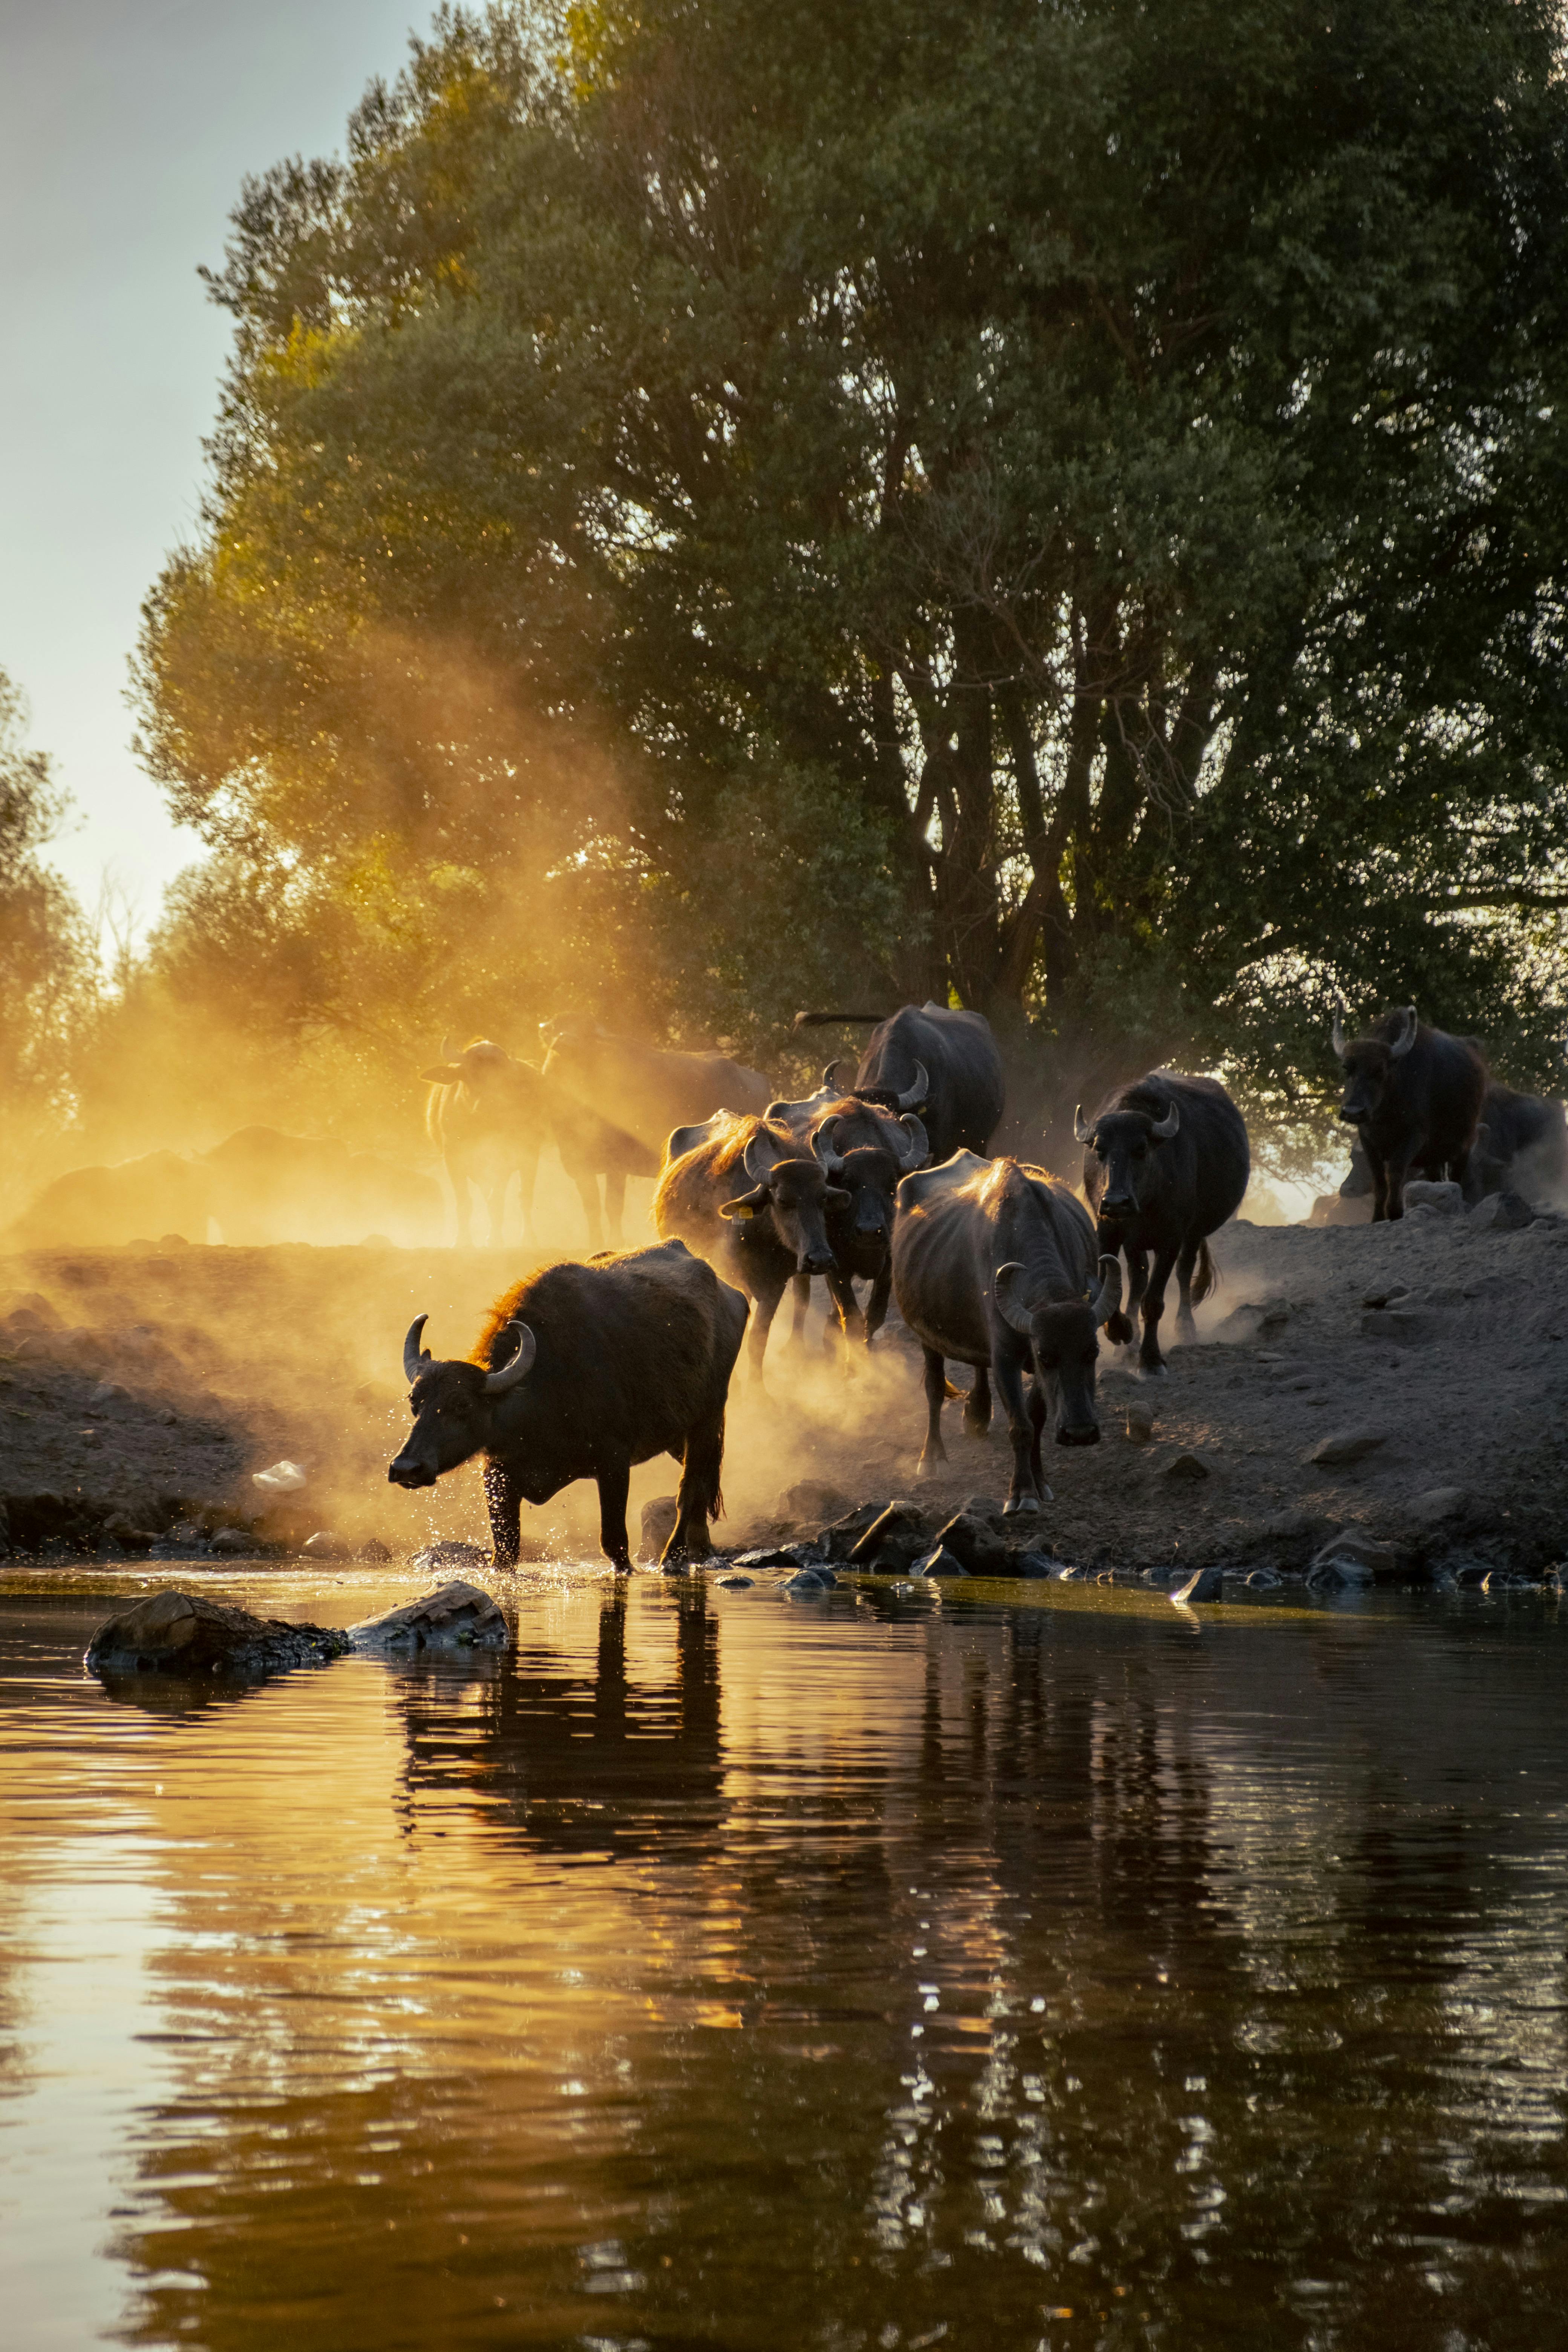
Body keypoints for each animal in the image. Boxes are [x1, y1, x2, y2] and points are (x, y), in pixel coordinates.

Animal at [387, 1239, 747, 1569]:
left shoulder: (614, 1462)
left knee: (690, 1488)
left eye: (462, 1404)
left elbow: (614, 1544)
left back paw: (673, 1558)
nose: (406, 1468)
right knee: (701, 1484)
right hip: (677, 1433)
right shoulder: (498, 1475)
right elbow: (505, 1553)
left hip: (707, 1419)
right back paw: (702, 1551)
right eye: (414, 1402)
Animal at [654, 1114, 847, 1378]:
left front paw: (756, 1385)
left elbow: (758, 1339)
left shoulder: (775, 1285)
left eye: (823, 1198)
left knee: (802, 1297)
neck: (759, 1234)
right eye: (783, 1200)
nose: (821, 1259)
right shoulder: (732, 1278)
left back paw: (795, 1348)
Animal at [892, 1151, 1121, 1512]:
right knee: (934, 1389)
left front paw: (1039, 1482)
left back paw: (977, 1415)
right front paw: (1022, 1493)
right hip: (925, 1334)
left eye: (1092, 1352)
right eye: (1046, 1356)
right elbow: (1020, 1425)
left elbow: (1037, 1419)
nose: (1081, 1432)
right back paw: (933, 1457)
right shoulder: (1008, 1358)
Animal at [1078, 1072, 1250, 1376]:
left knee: (1183, 1272)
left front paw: (1151, 1360)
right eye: (1100, 1150)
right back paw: (1129, 1344)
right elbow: (1106, 1289)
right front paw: (1120, 1332)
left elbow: (1154, 1301)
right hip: (1135, 1242)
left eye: (1141, 1149)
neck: (1145, 1202)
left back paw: (1186, 1329)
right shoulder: (1108, 1231)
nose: (1116, 1202)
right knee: (1137, 1280)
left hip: (1193, 1234)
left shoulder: (1171, 1239)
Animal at [1331, 1005, 1486, 1220]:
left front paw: (1396, 1213)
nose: (1353, 1112)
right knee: (1435, 1179)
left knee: (1456, 1179)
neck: (1385, 1115)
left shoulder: (1414, 1137)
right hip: (1433, 1155)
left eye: (1380, 1070)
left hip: (1464, 1143)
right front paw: (1377, 1218)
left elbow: (1395, 1173)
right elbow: (1379, 1181)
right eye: (1347, 1068)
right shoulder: (1368, 1141)